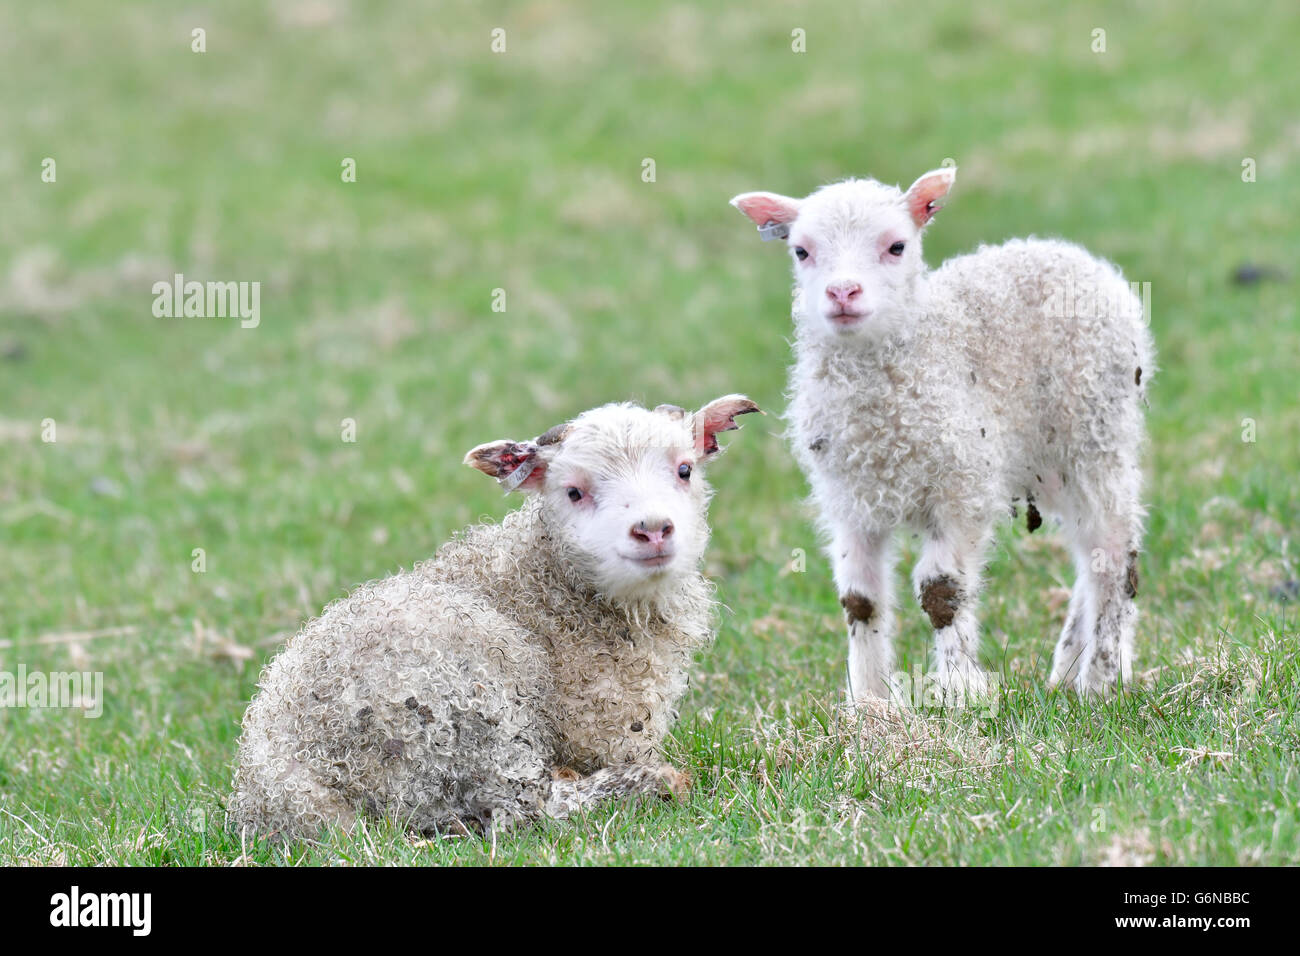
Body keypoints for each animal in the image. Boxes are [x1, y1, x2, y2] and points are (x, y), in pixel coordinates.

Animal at [228, 395, 760, 840]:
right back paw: (653, 784)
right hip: (458, 713)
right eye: (573, 492)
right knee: (521, 806)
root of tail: (285, 793)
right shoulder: (605, 728)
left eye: (685, 470)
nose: (652, 530)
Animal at [730, 167, 1153, 703]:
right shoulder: (849, 497)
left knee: (1115, 553)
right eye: (801, 251)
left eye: (896, 246)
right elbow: (859, 600)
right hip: (1048, 460)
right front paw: (869, 703)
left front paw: (961, 694)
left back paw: (1100, 679)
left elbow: (941, 593)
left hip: (1097, 434)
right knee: (1090, 551)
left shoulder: (961, 486)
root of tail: (1073, 255)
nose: (843, 293)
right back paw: (1068, 671)